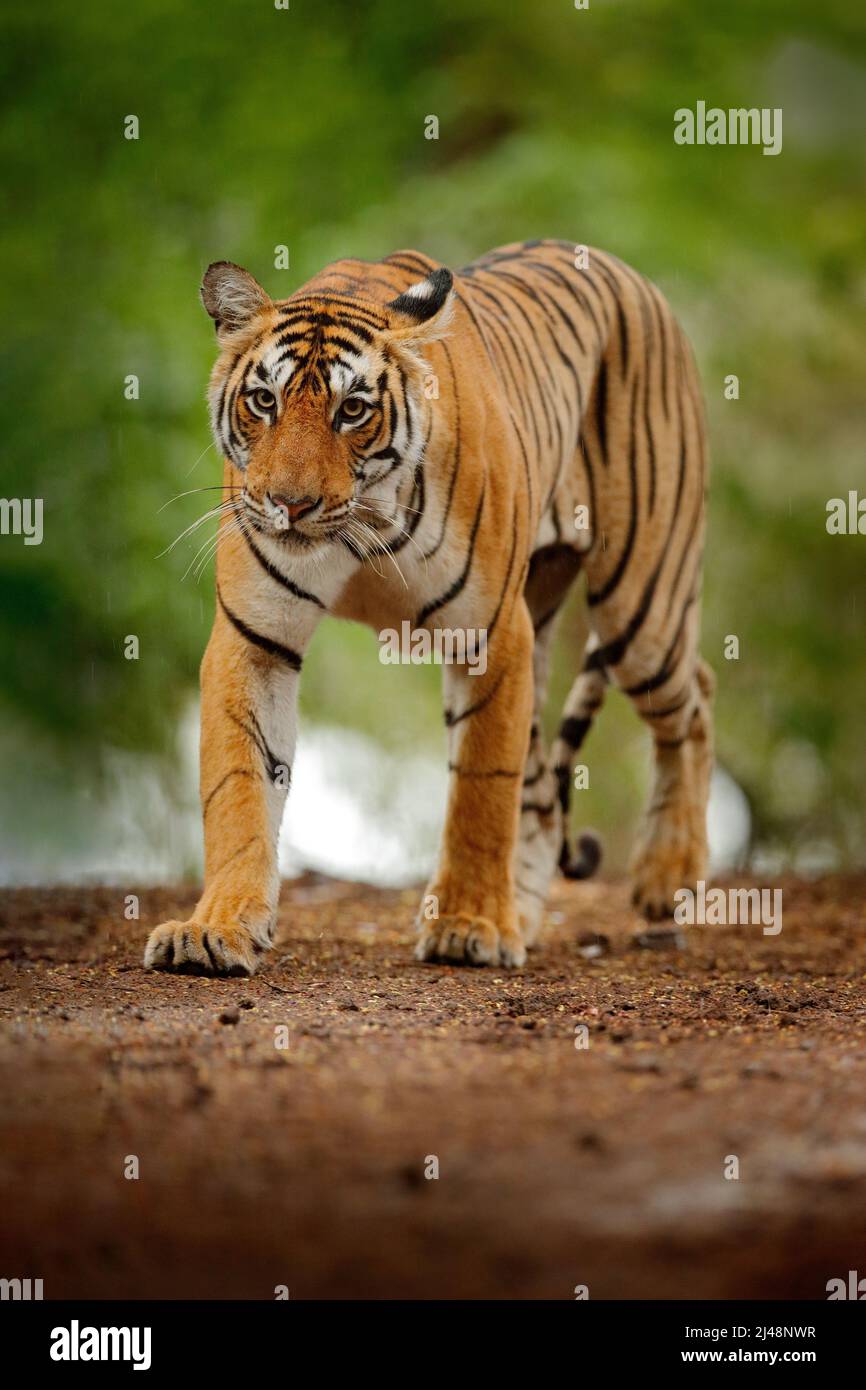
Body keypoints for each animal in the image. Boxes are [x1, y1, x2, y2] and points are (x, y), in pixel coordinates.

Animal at [144, 238, 714, 976]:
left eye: (352, 410)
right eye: (264, 400)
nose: (289, 504)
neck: (360, 523)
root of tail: (627, 272)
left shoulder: (491, 634)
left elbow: (481, 788)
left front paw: (470, 925)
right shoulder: (255, 640)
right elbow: (238, 788)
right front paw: (216, 927)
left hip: (641, 606)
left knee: (694, 697)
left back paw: (668, 873)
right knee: (542, 792)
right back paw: (525, 913)